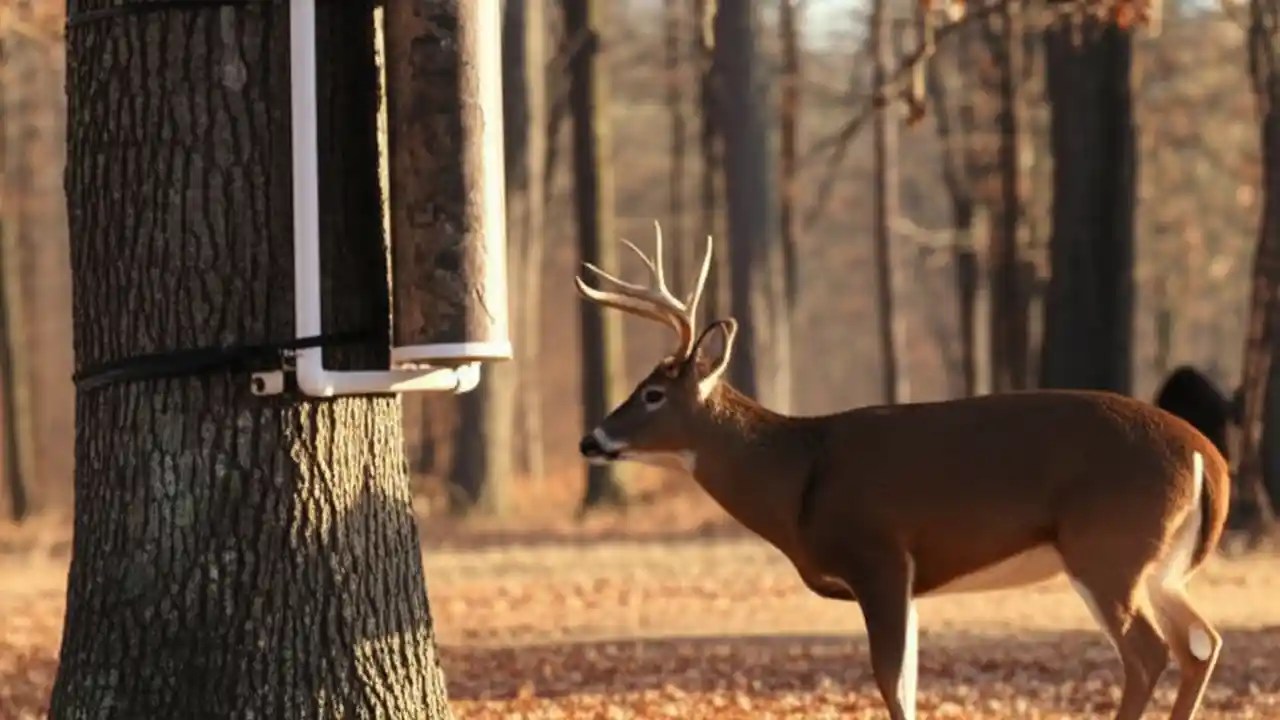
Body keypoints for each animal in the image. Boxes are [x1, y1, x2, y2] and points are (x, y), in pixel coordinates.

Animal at [575, 222, 1231, 720]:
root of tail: (1210, 458)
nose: (590, 439)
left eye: (653, 393)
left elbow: (892, 683)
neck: (797, 479)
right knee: (1201, 643)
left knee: (1149, 652)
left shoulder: (880, 557)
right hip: (1161, 567)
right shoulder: (905, 579)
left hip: (1107, 548)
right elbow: (907, 683)